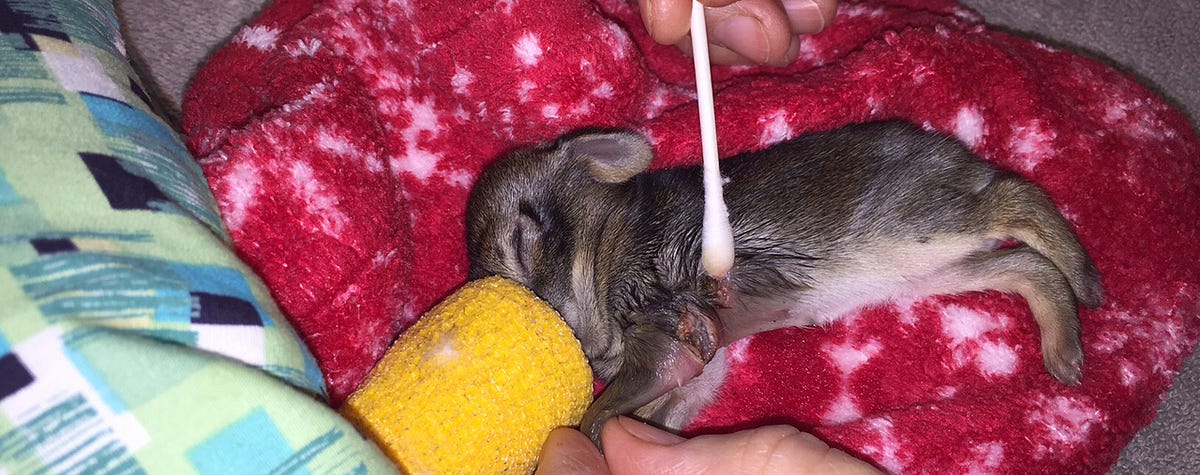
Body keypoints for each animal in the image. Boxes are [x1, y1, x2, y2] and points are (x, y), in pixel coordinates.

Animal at [465, 120, 1103, 447]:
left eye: (522, 240)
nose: (583, 350)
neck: (609, 237)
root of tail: (959, 156)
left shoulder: (657, 323)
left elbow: (613, 406)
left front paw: (593, 434)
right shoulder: (699, 363)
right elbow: (667, 407)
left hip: (917, 226)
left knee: (1015, 199)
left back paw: (1088, 280)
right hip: (931, 268)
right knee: (1026, 266)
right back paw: (1064, 349)